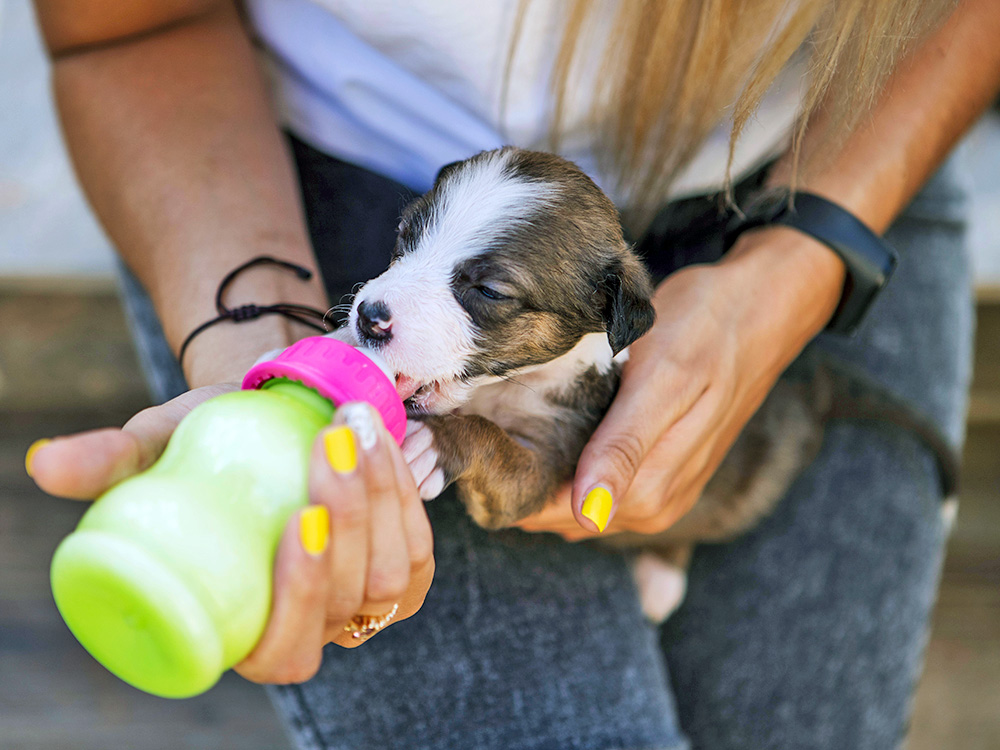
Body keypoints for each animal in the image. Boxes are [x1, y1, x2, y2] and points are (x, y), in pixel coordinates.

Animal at [340, 147, 956, 624]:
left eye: (490, 291)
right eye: (404, 238)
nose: (369, 317)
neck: (513, 388)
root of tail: (813, 379)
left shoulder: (546, 471)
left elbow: (493, 444)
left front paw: (436, 441)